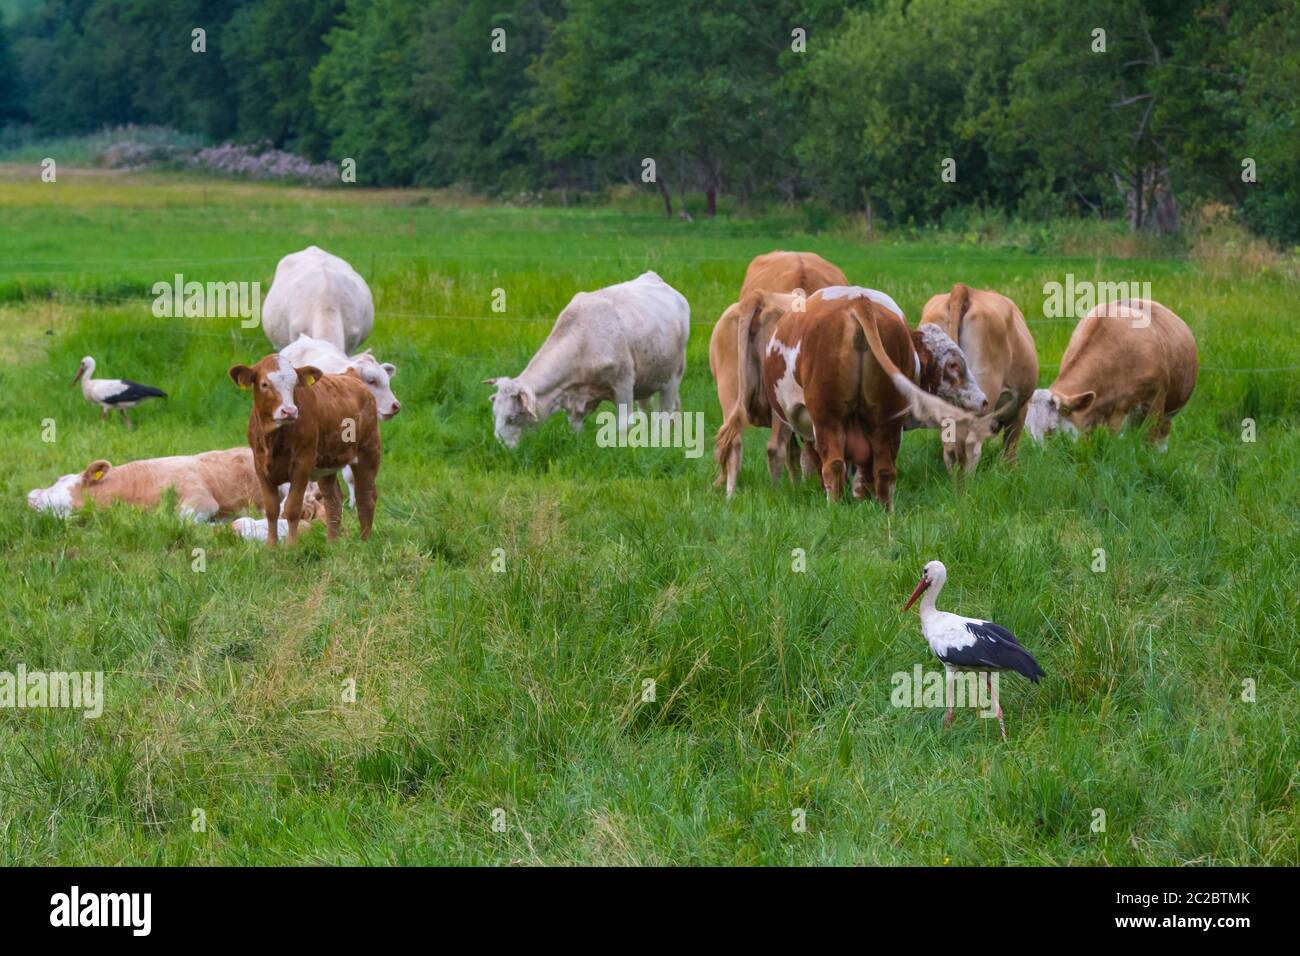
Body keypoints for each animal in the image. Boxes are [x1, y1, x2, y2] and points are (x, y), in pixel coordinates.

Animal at [229, 355, 381, 546]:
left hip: (368, 451)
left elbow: (292, 507)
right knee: (333, 500)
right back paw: (332, 543)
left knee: (365, 496)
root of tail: (353, 379)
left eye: (295, 384)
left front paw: (291, 546)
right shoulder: (260, 466)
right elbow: (271, 509)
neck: (274, 441)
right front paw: (271, 545)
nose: (289, 411)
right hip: (326, 465)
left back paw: (364, 541)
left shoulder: (302, 464)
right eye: (264, 384)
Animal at [485, 271, 689, 448]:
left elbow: (624, 426)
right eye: (495, 414)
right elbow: (575, 428)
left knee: (665, 413)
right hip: (646, 382)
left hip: (673, 376)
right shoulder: (575, 401)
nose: (501, 446)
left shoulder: (623, 383)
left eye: (511, 418)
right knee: (648, 411)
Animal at [710, 251, 848, 497]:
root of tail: (761, 298)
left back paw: (730, 496)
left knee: (733, 441)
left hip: (729, 387)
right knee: (775, 448)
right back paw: (776, 494)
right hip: (777, 398)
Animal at [762, 290, 986, 508]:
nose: (983, 400)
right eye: (953, 365)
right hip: (887, 419)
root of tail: (858, 301)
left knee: (833, 465)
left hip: (828, 418)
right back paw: (884, 510)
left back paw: (834, 508)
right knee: (885, 470)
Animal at [919, 283, 1039, 472]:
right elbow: (1010, 449)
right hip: (984, 394)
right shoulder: (1020, 407)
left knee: (950, 447)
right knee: (971, 445)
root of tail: (963, 289)